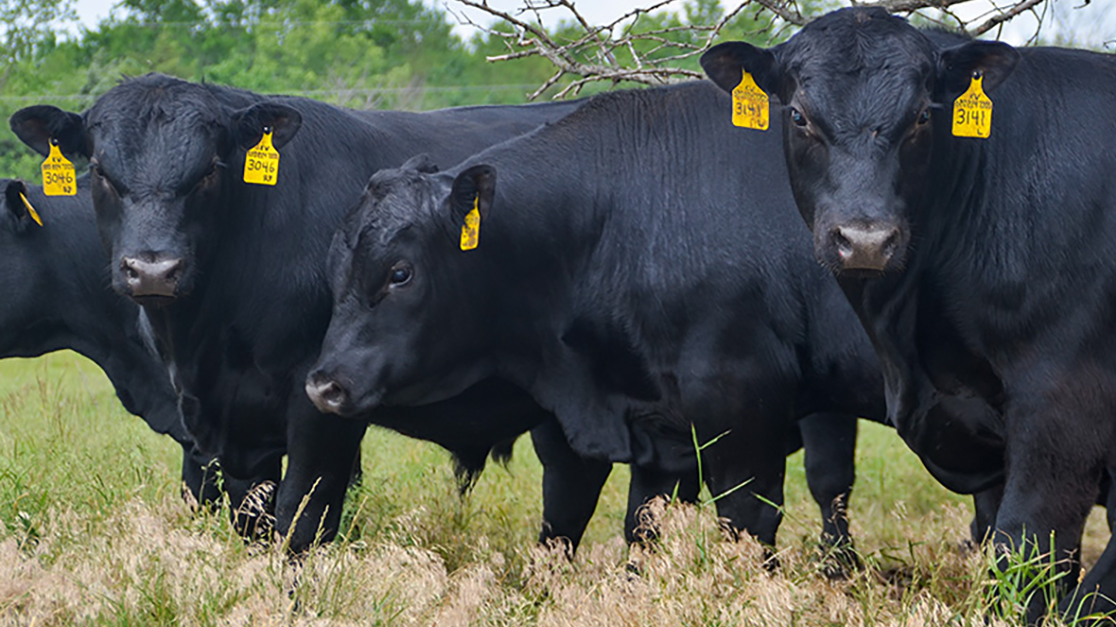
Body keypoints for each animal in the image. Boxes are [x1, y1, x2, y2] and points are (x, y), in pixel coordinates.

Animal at [304, 80, 890, 555]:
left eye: (400, 273)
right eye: (334, 268)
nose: (322, 385)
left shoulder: (744, 409)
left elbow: (755, 519)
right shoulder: (662, 433)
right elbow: (642, 529)